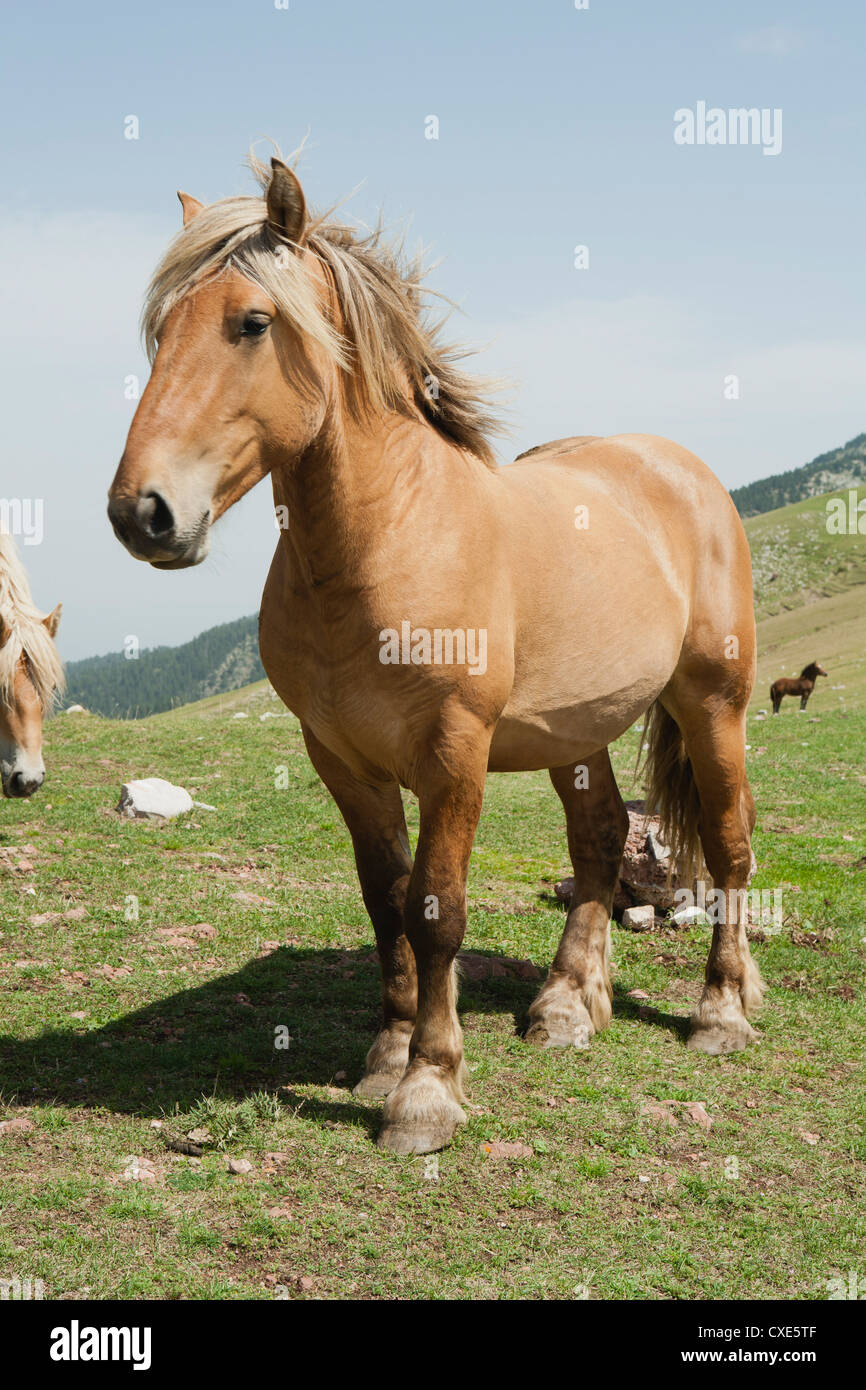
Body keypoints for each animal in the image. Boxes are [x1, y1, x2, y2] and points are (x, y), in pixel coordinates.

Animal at [108, 153, 764, 1155]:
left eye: (252, 322)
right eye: (160, 331)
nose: (141, 513)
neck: (387, 543)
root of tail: (683, 470)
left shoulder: (456, 753)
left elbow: (435, 908)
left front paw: (428, 1087)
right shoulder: (341, 758)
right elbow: (385, 900)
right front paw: (386, 1057)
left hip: (712, 704)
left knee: (729, 843)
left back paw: (721, 1010)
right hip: (578, 734)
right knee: (600, 842)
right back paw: (567, 1006)